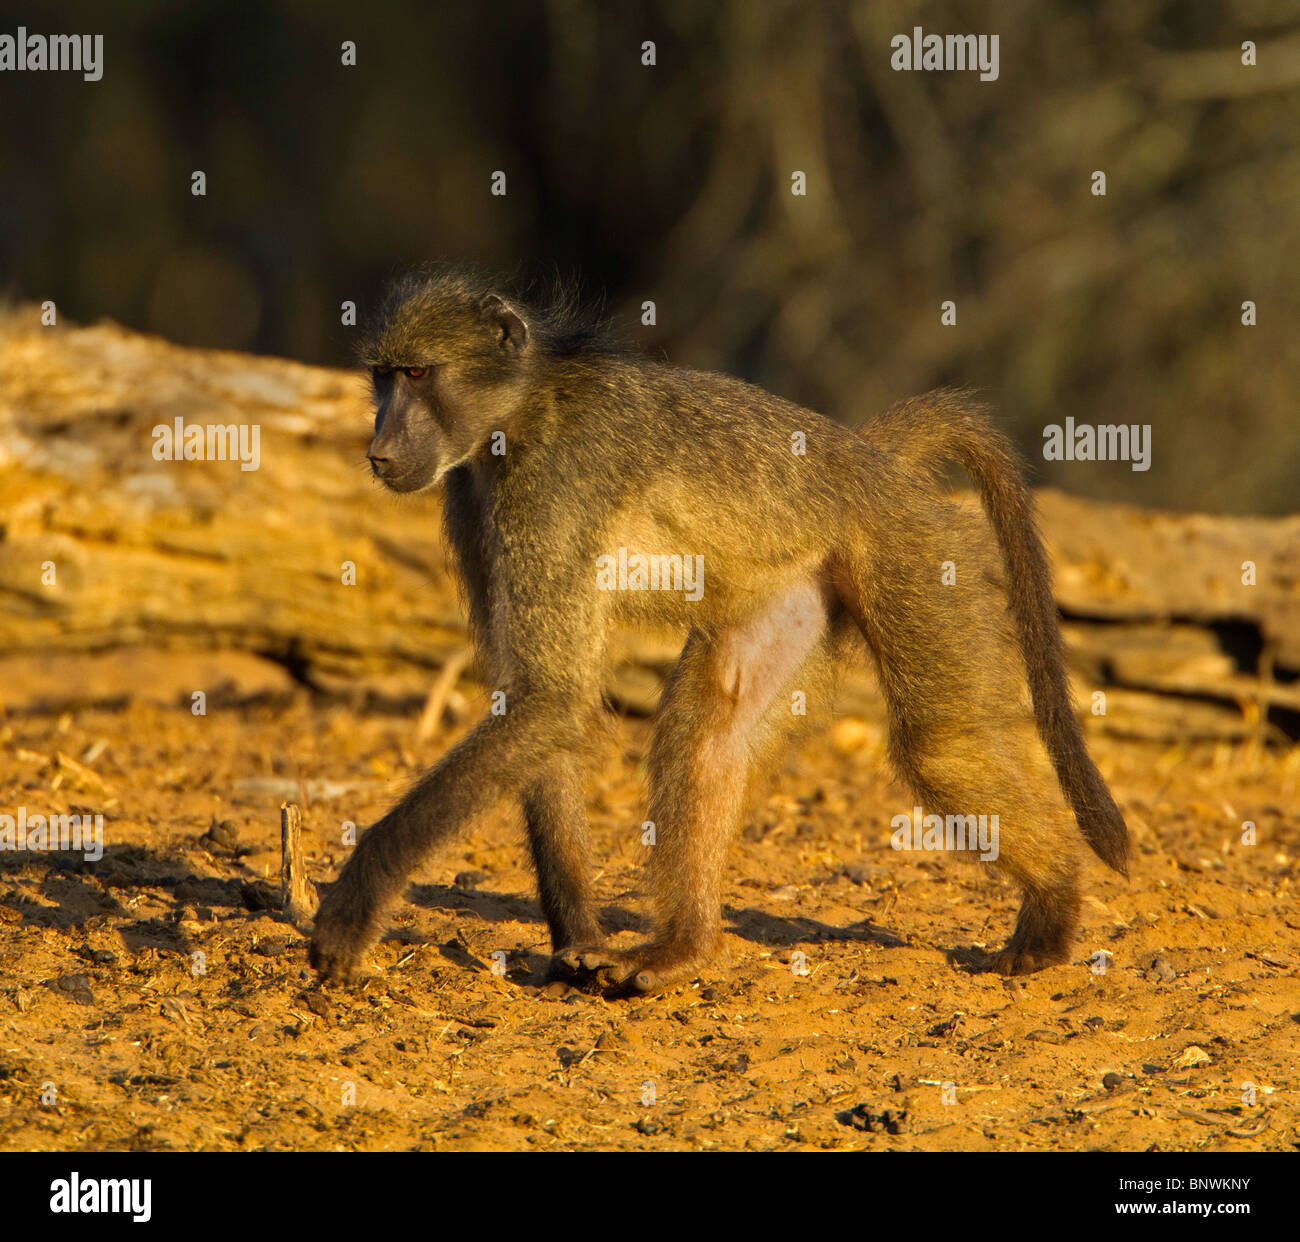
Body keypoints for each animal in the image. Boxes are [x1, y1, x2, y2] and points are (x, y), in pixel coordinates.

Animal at [308, 263, 1129, 994]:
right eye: (383, 378)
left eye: (419, 374)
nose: (379, 453)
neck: (520, 409)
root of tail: (873, 461)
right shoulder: (473, 500)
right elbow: (537, 702)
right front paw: (577, 941)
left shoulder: (549, 486)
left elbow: (551, 699)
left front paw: (354, 902)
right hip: (792, 589)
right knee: (707, 739)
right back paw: (681, 949)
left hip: (917, 557)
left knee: (941, 748)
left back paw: (1054, 908)